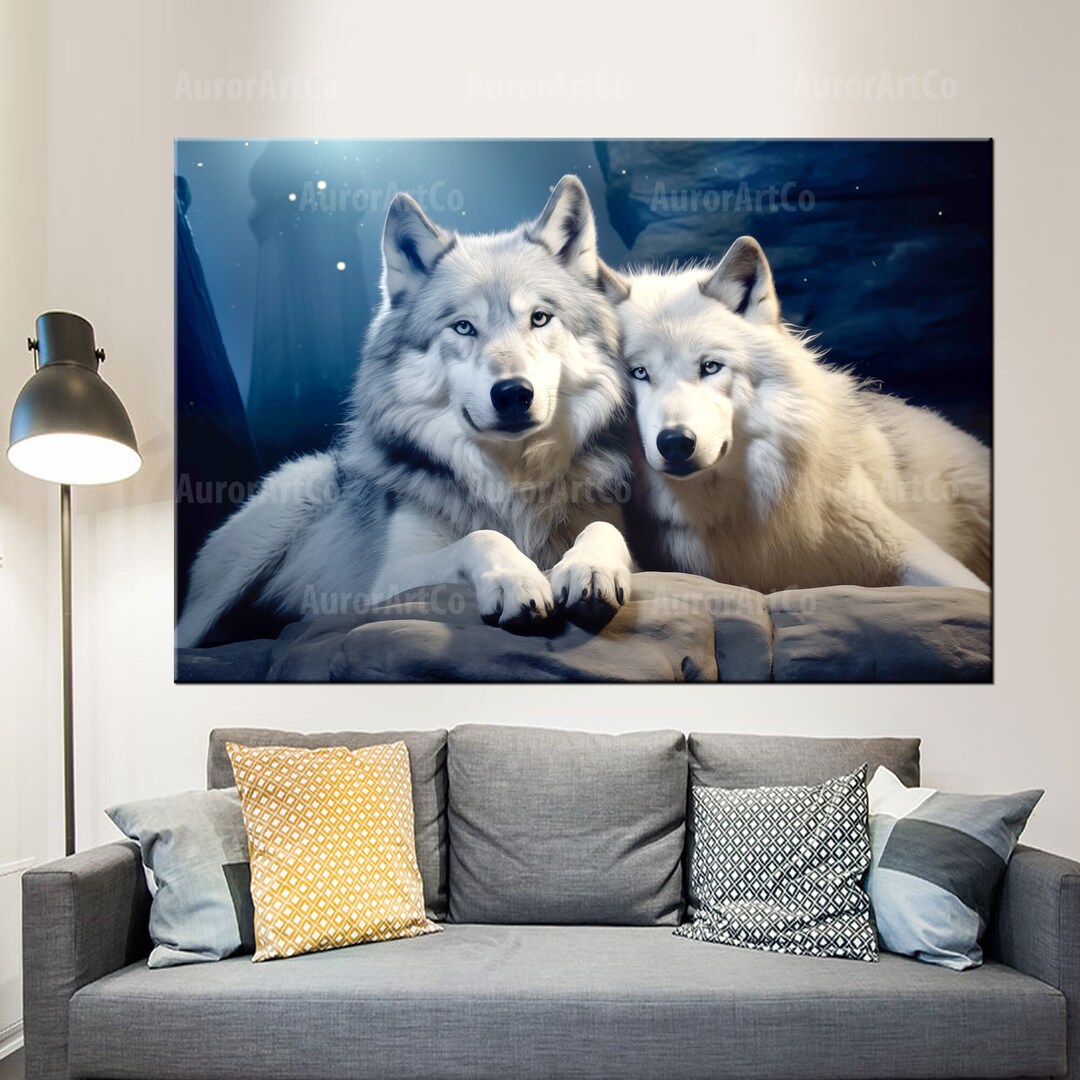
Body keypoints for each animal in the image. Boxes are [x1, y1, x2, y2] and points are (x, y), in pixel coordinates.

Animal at [176, 176, 634, 648]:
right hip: (297, 496)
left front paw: (589, 566)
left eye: (540, 318)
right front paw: (516, 578)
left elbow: (605, 530)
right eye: (463, 327)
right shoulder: (386, 582)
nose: (512, 394)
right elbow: (480, 536)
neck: (510, 481)